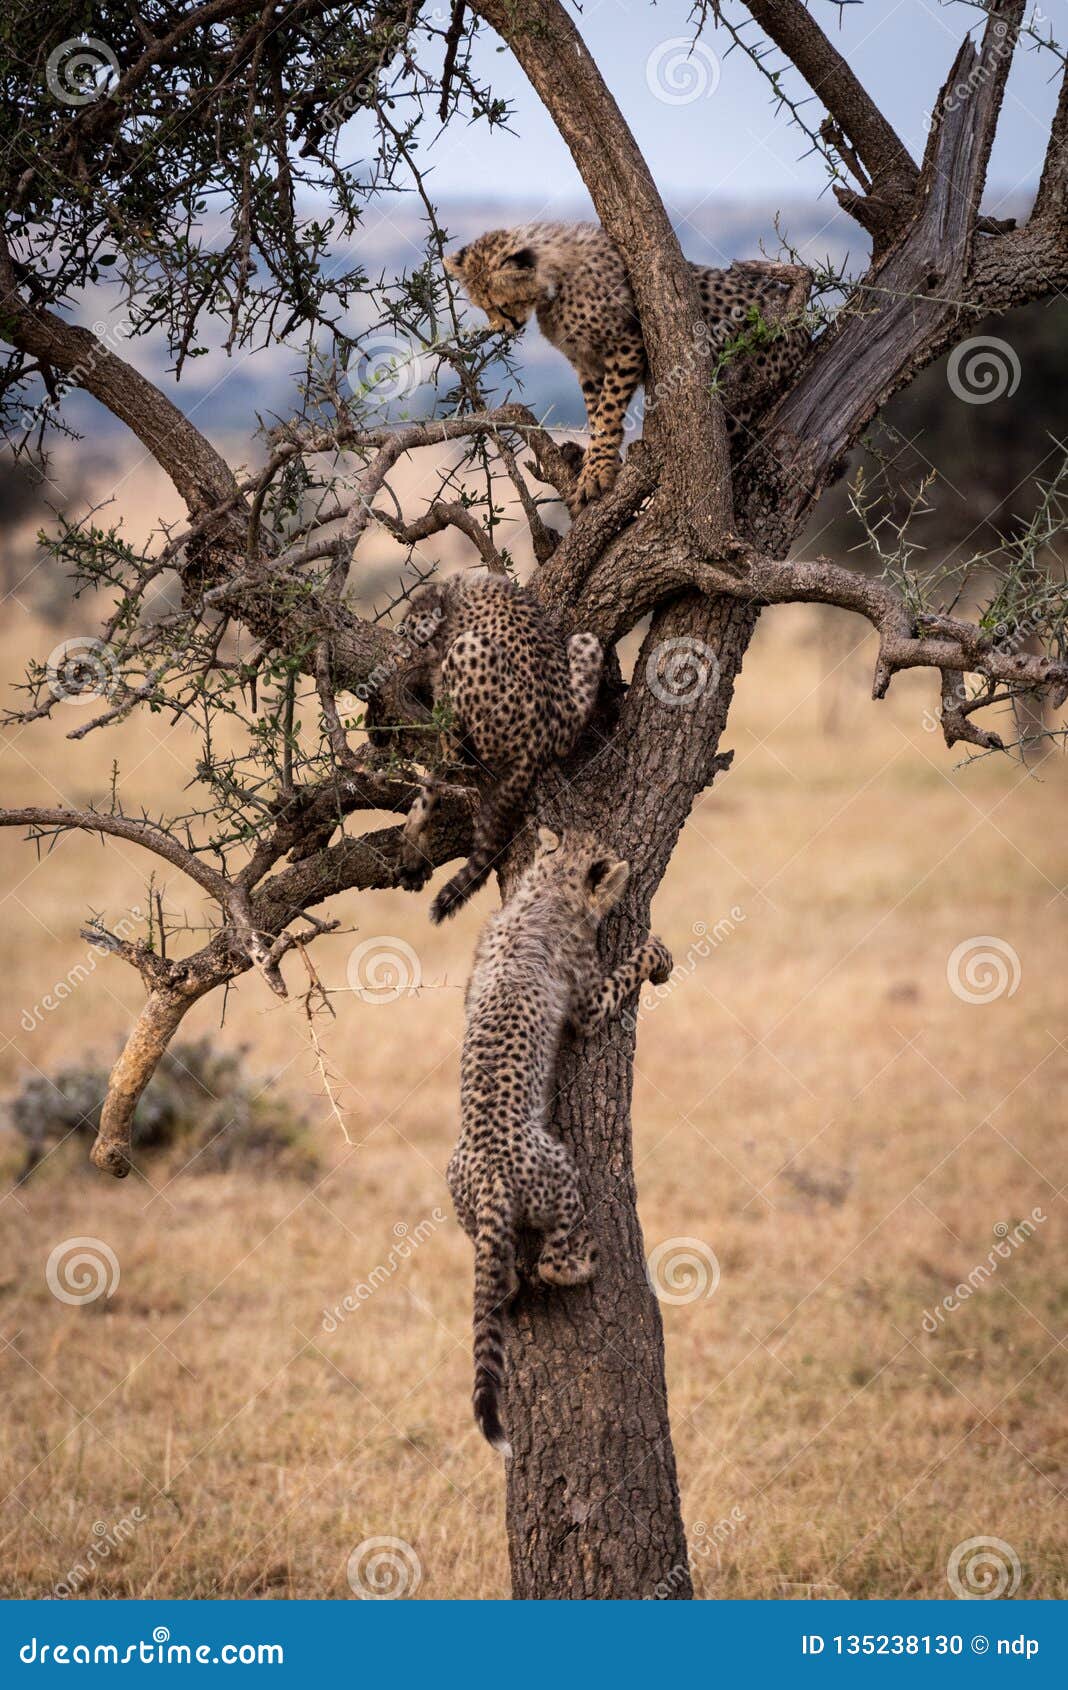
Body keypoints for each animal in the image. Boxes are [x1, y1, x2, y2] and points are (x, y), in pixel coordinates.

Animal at [366, 572, 603, 923]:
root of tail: (540, 741)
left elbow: (437, 774)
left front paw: (413, 838)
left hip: (470, 650)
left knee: (455, 754)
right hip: (585, 645)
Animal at [443, 221, 812, 513]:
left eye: (501, 305)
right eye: (484, 306)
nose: (501, 329)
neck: (556, 281)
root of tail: (804, 330)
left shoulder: (626, 346)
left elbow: (607, 411)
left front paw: (596, 471)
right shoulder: (587, 364)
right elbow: (595, 410)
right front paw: (598, 461)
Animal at [447, 823, 673, 1454]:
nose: (625, 865)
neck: (546, 891)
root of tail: (490, 1177)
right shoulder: (587, 1001)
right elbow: (625, 971)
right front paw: (658, 954)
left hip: (464, 1205)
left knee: (497, 1280)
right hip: (562, 1172)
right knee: (553, 1261)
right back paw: (585, 1263)